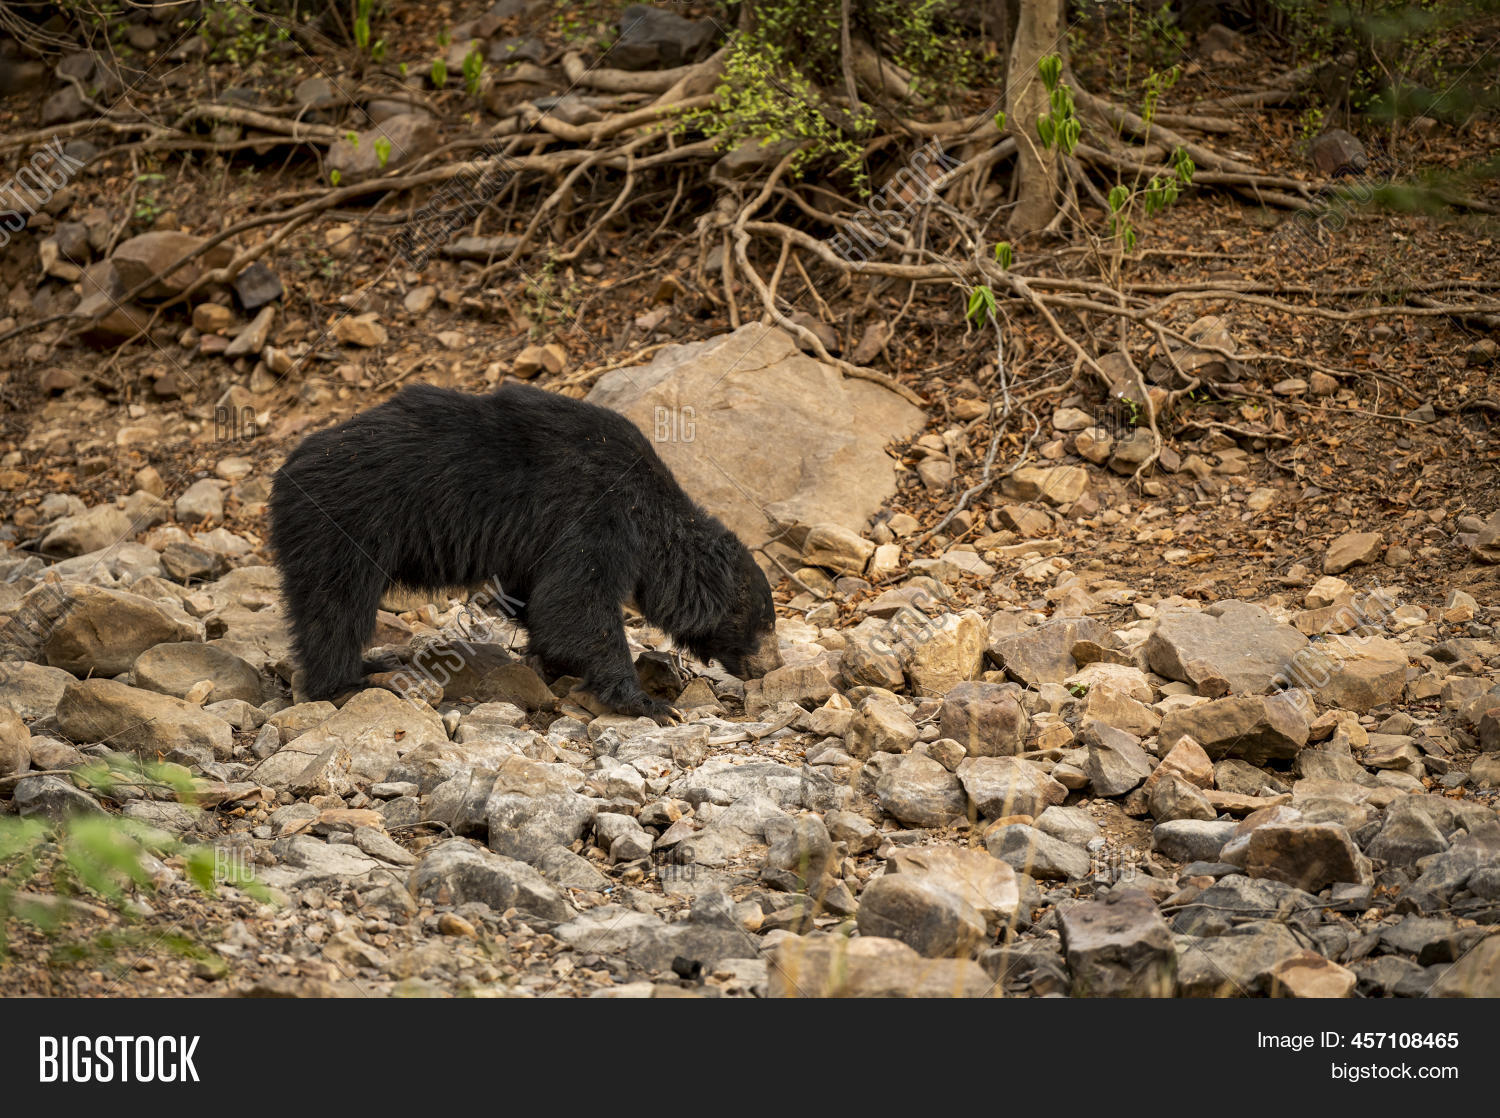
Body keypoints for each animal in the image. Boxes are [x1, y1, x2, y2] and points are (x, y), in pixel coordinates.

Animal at [268, 382, 782, 722]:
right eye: (764, 623)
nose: (773, 666)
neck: (648, 511)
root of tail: (285, 471)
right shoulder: (594, 514)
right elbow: (576, 603)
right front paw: (648, 703)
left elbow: (539, 598)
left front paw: (551, 662)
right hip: (345, 526)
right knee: (335, 607)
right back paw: (353, 677)